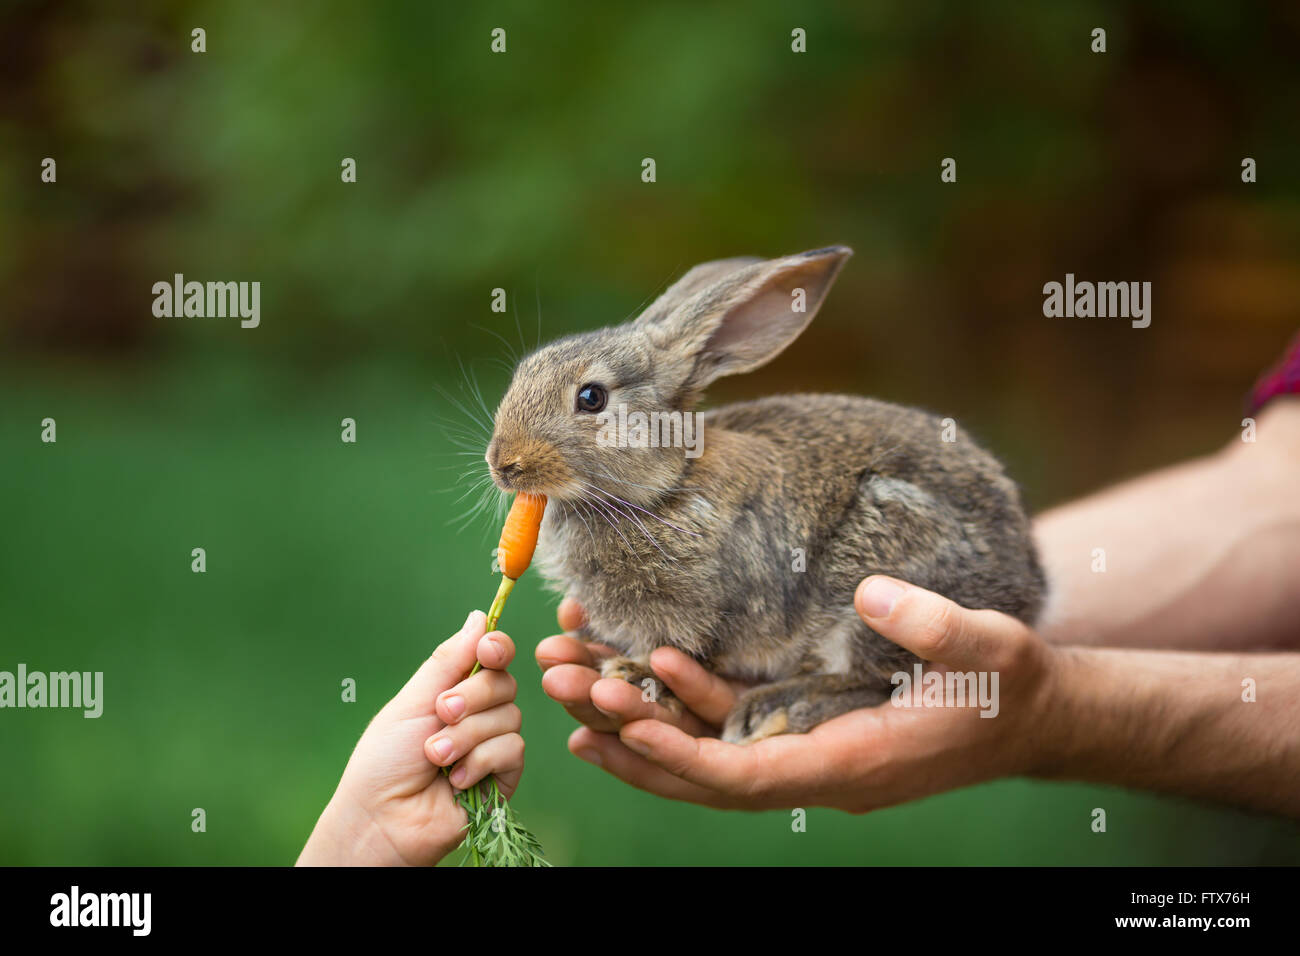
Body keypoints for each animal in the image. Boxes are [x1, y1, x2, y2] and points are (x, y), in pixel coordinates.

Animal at [485, 246, 1046, 744]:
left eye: (591, 397)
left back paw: (777, 708)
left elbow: (684, 648)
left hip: (876, 576)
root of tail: (1029, 592)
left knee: (874, 678)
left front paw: (635, 674)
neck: (665, 488)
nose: (502, 464)